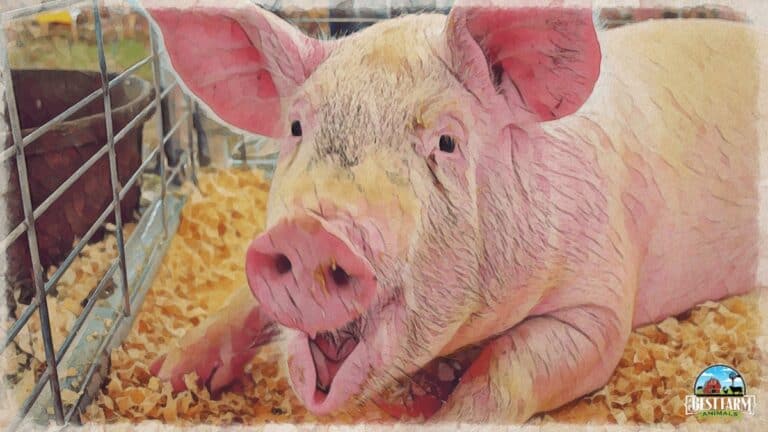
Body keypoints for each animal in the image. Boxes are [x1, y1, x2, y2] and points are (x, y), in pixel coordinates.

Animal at [142, 0, 767, 423]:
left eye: (446, 141)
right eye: (296, 127)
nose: (307, 232)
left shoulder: (602, 300)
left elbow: (506, 364)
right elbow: (245, 299)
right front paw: (168, 377)